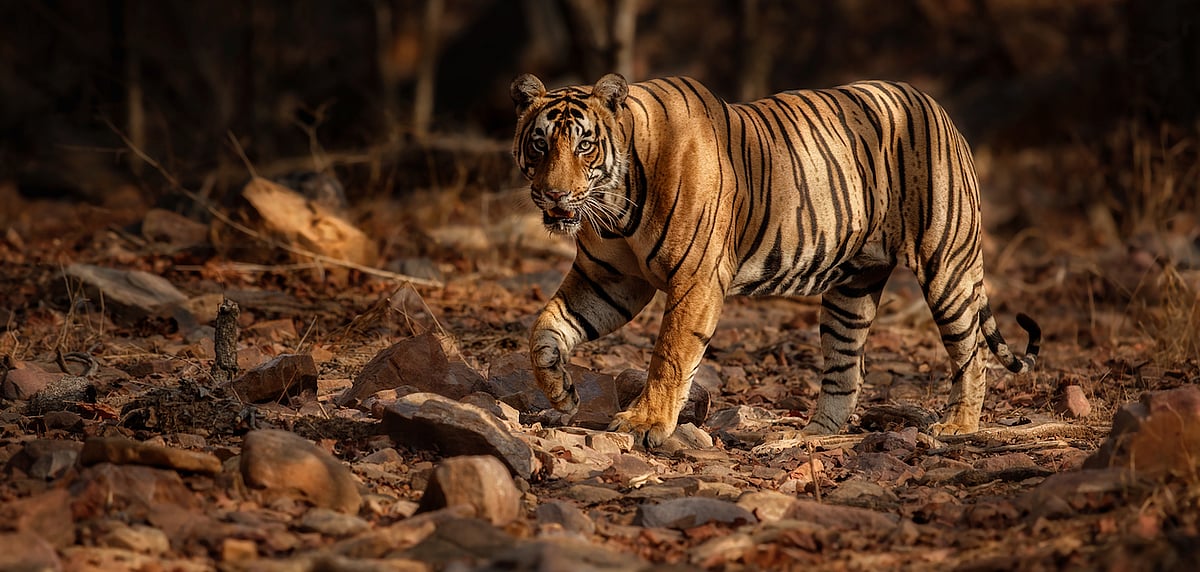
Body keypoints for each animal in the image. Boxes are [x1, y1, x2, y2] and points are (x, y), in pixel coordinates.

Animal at [510, 73, 1040, 447]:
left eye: (584, 144)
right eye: (540, 143)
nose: (553, 194)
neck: (616, 207)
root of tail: (936, 106)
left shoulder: (696, 279)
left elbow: (670, 354)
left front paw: (645, 422)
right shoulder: (609, 279)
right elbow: (544, 329)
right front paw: (561, 393)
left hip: (947, 265)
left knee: (971, 352)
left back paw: (957, 425)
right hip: (853, 288)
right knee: (845, 368)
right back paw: (811, 435)